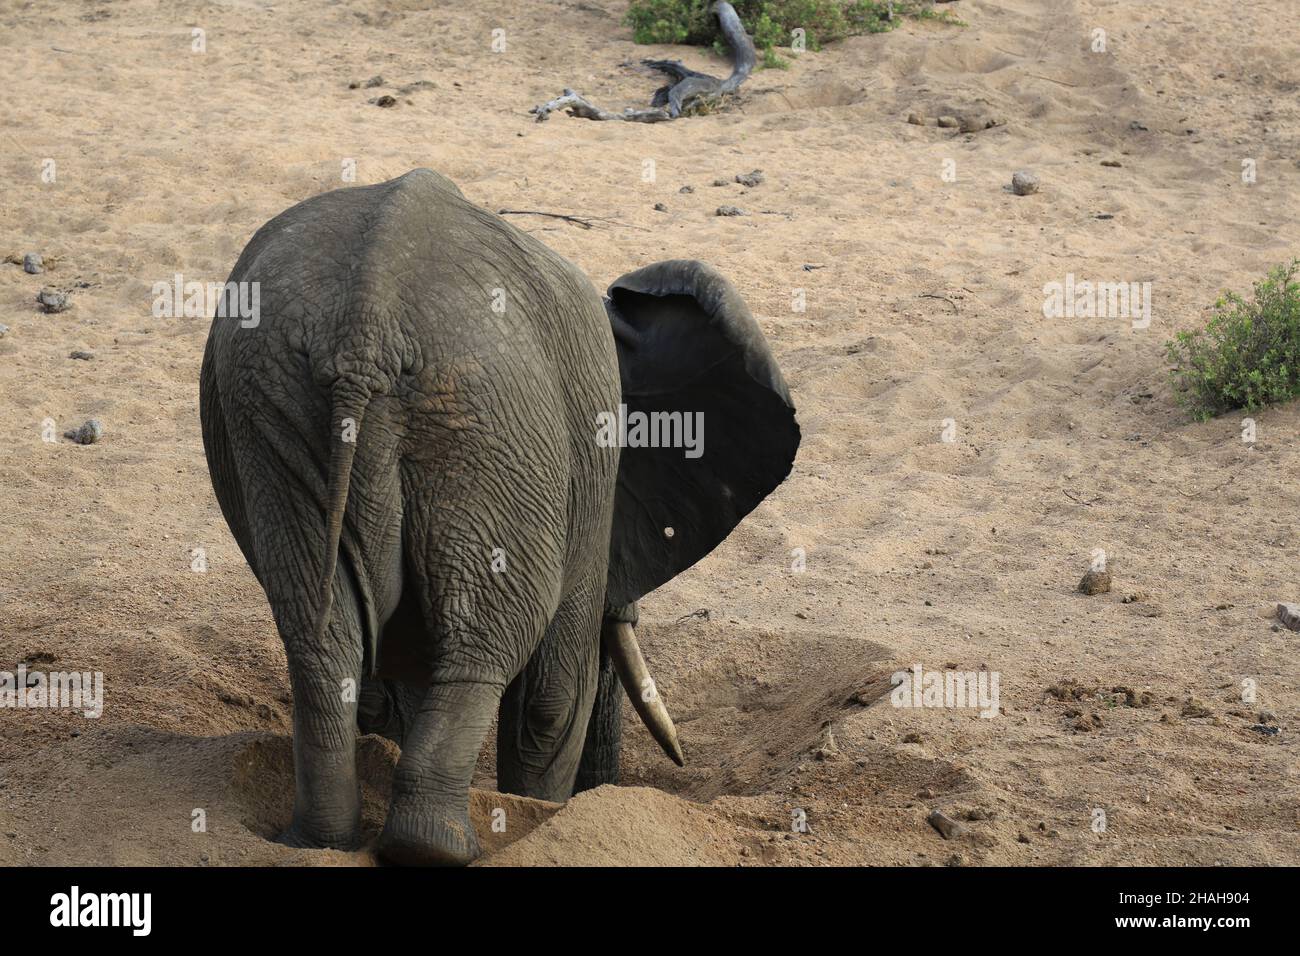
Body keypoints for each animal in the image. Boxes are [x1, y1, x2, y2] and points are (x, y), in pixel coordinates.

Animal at [199, 168, 799, 865]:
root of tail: (366, 329)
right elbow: (553, 694)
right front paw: (540, 813)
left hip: (281, 418)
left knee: (324, 640)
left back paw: (319, 841)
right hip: (483, 424)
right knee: (489, 642)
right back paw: (435, 846)